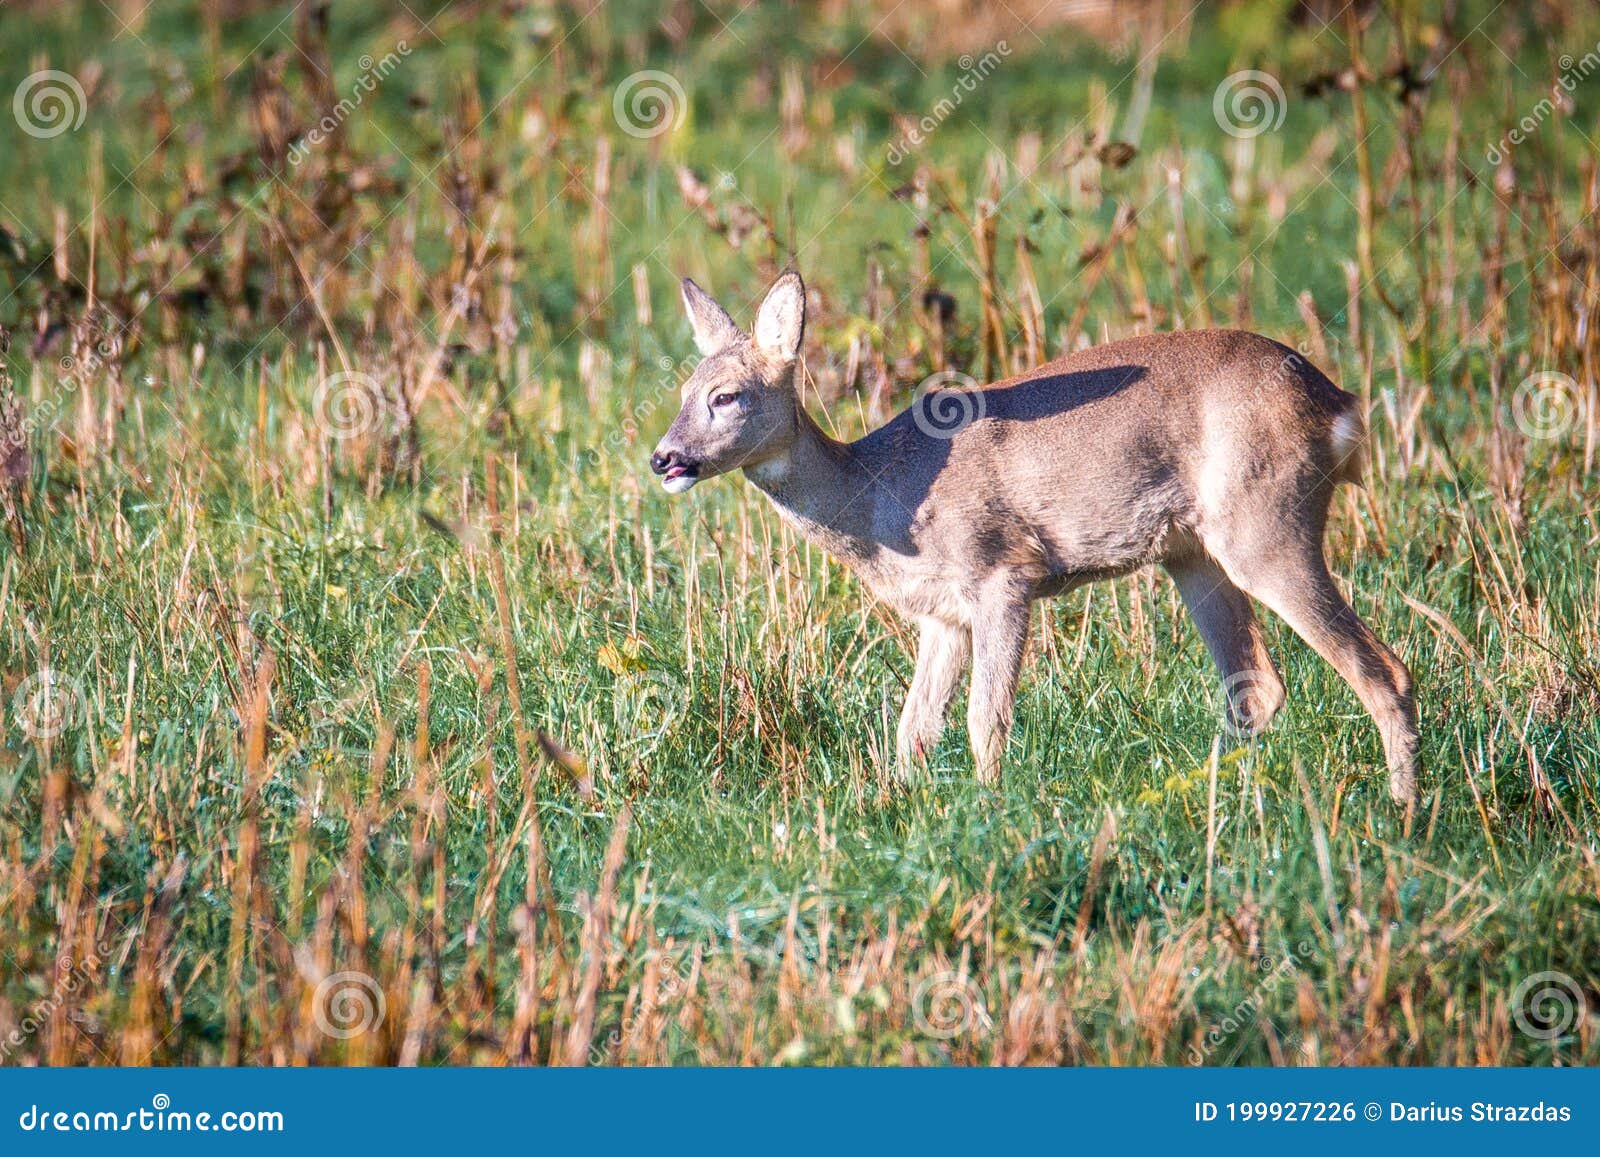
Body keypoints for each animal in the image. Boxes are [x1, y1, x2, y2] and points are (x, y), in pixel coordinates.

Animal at [651, 270, 1421, 805]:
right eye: (683, 392)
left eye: (727, 396)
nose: (664, 457)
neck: (878, 499)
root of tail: (1338, 406)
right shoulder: (943, 616)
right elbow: (913, 728)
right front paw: (893, 808)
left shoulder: (1002, 573)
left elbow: (985, 720)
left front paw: (988, 811)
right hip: (1193, 553)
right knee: (1257, 685)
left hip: (1267, 521)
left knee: (1384, 669)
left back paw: (1402, 814)